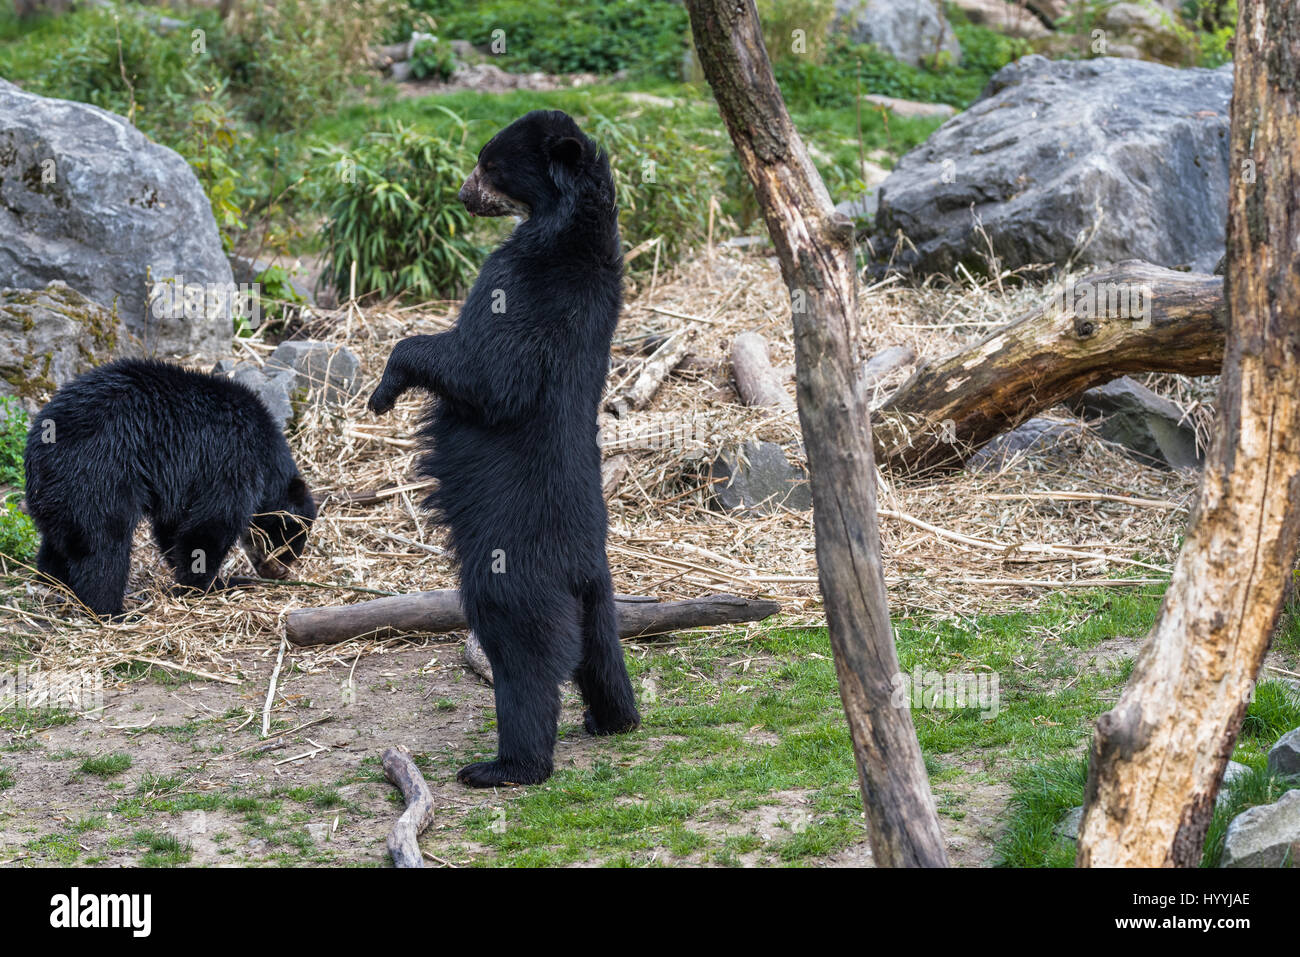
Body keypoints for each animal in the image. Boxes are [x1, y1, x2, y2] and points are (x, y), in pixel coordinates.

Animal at [24, 358, 317, 617]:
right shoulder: (232, 463)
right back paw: (114, 611)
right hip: (98, 477)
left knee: (63, 541)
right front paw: (215, 584)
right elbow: (209, 526)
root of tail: (39, 451)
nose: (281, 571)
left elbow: (175, 525)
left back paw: (52, 580)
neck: (267, 456)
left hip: (60, 495)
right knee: (104, 546)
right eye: (292, 539)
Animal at [368, 109, 640, 787]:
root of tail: (574, 565)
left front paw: (384, 389)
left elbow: (486, 371)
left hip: (513, 578)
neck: (571, 225)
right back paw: (613, 718)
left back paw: (504, 766)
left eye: (489, 164)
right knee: (601, 646)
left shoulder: (521, 286)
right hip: (598, 589)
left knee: (527, 658)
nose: (463, 194)